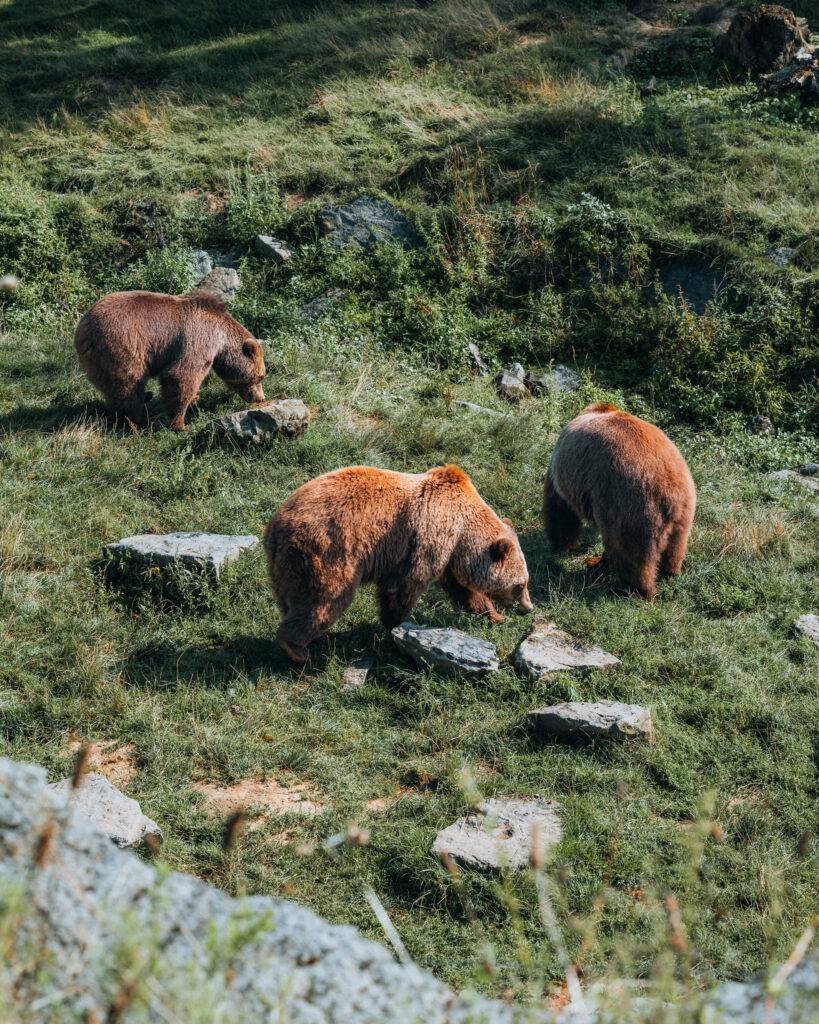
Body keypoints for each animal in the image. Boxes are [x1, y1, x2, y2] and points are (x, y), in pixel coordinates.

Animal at [74, 290, 266, 431]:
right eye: (260, 377)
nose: (261, 398)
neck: (222, 339)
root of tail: (85, 330)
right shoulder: (198, 337)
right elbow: (181, 375)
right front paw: (180, 424)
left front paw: (194, 398)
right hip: (123, 344)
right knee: (128, 384)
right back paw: (137, 420)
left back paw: (144, 400)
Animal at [264, 464, 534, 663]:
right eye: (520, 585)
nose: (528, 608)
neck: (463, 531)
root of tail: (276, 528)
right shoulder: (427, 535)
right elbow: (406, 583)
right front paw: (396, 624)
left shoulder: (449, 554)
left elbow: (461, 588)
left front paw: (495, 616)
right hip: (327, 552)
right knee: (325, 598)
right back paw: (299, 651)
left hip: (285, 567)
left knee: (292, 599)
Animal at [543, 403, 696, 600]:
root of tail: (671, 498)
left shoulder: (563, 470)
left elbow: (560, 511)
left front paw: (561, 545)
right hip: (684, 513)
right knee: (675, 546)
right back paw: (669, 570)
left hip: (628, 506)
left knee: (630, 554)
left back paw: (632, 587)